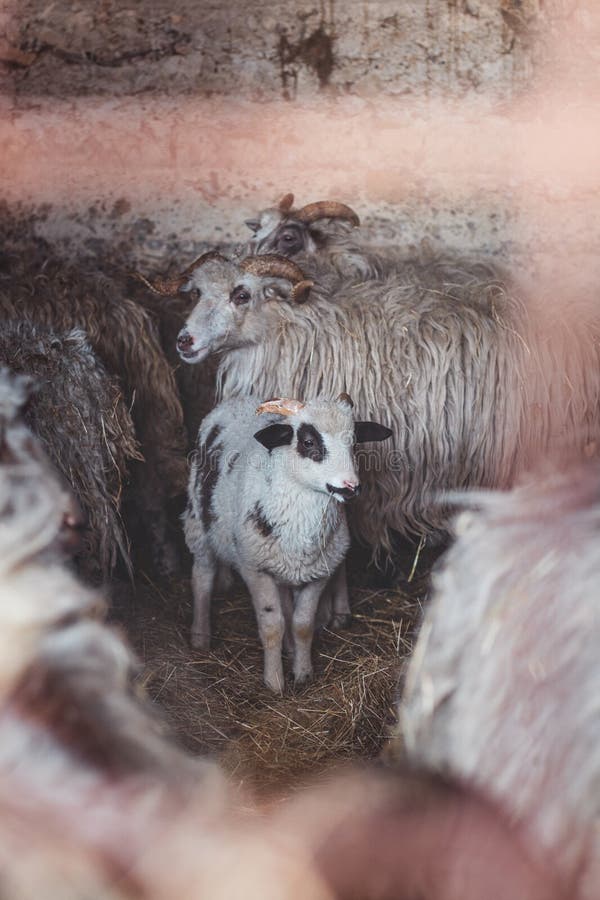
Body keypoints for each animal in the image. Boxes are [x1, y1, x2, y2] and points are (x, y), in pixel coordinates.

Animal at [183, 394, 391, 692]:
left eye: (353, 442)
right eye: (308, 442)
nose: (351, 487)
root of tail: (237, 400)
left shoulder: (318, 572)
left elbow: (302, 624)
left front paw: (303, 673)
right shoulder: (256, 569)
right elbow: (272, 626)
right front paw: (274, 683)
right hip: (198, 522)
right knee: (202, 576)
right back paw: (200, 636)